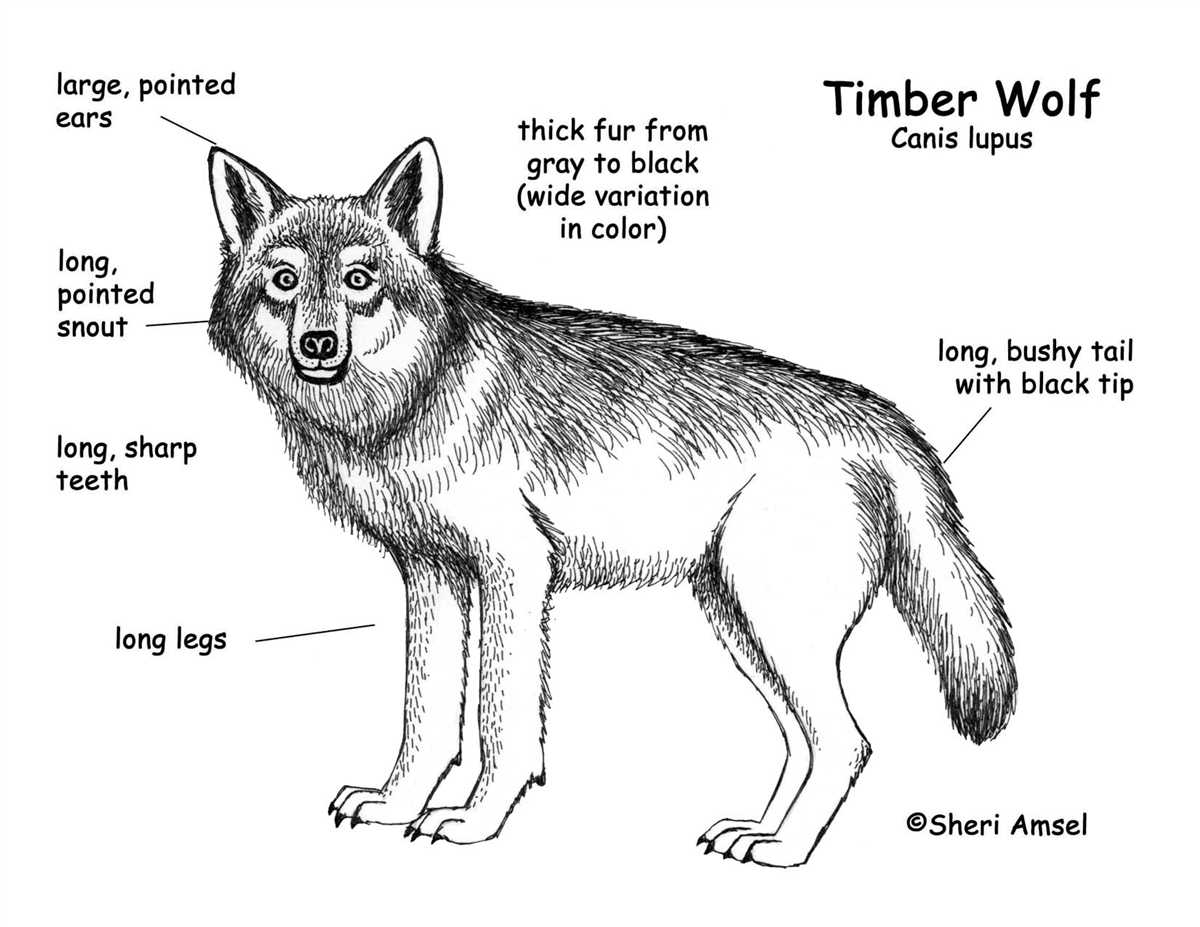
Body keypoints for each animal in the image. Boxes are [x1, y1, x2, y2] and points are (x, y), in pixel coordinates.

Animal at [207, 138, 1016, 866]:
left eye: (359, 279)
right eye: (283, 280)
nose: (316, 344)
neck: (404, 397)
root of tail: (886, 419)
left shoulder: (514, 570)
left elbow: (502, 721)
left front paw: (474, 822)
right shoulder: (429, 573)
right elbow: (428, 717)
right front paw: (398, 804)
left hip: (775, 626)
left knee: (847, 743)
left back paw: (786, 850)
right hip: (741, 626)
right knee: (805, 740)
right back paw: (759, 833)